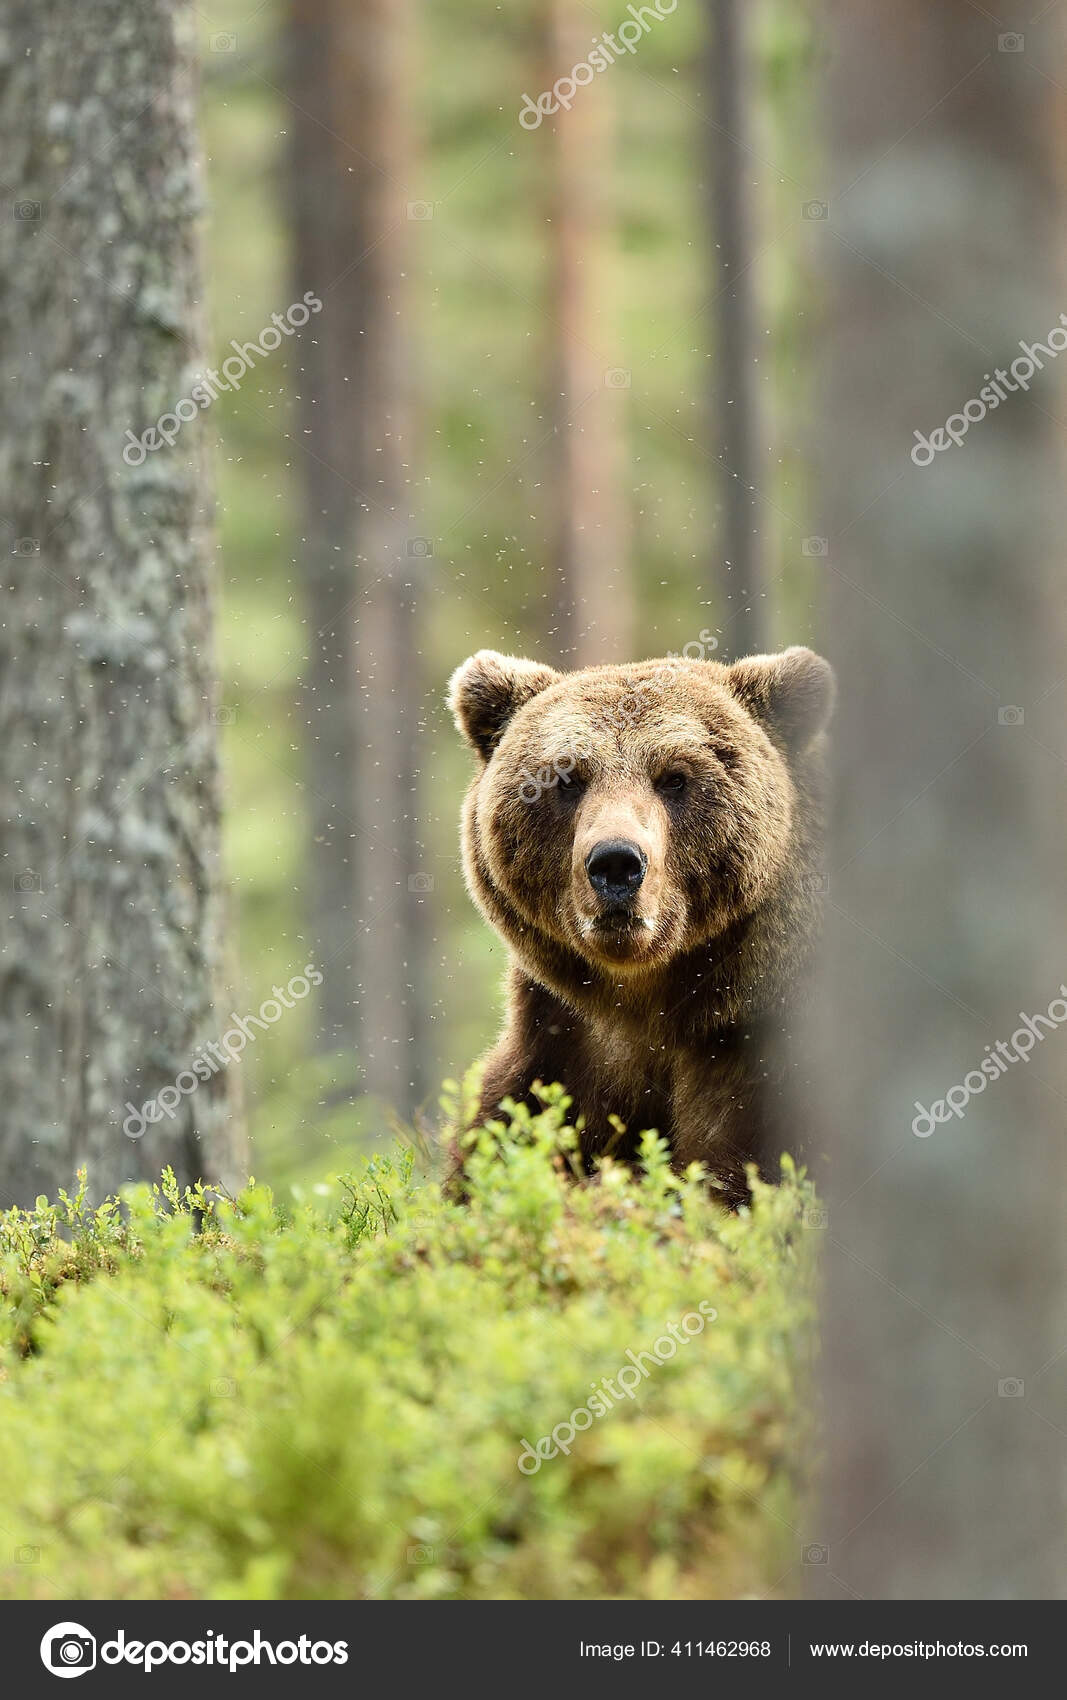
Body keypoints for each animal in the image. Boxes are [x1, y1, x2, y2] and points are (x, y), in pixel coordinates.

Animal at [448, 645, 835, 1204]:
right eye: (567, 778)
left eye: (674, 777)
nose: (615, 863)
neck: (648, 1000)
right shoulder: (562, 1047)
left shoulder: (752, 1056)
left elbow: (734, 1178)